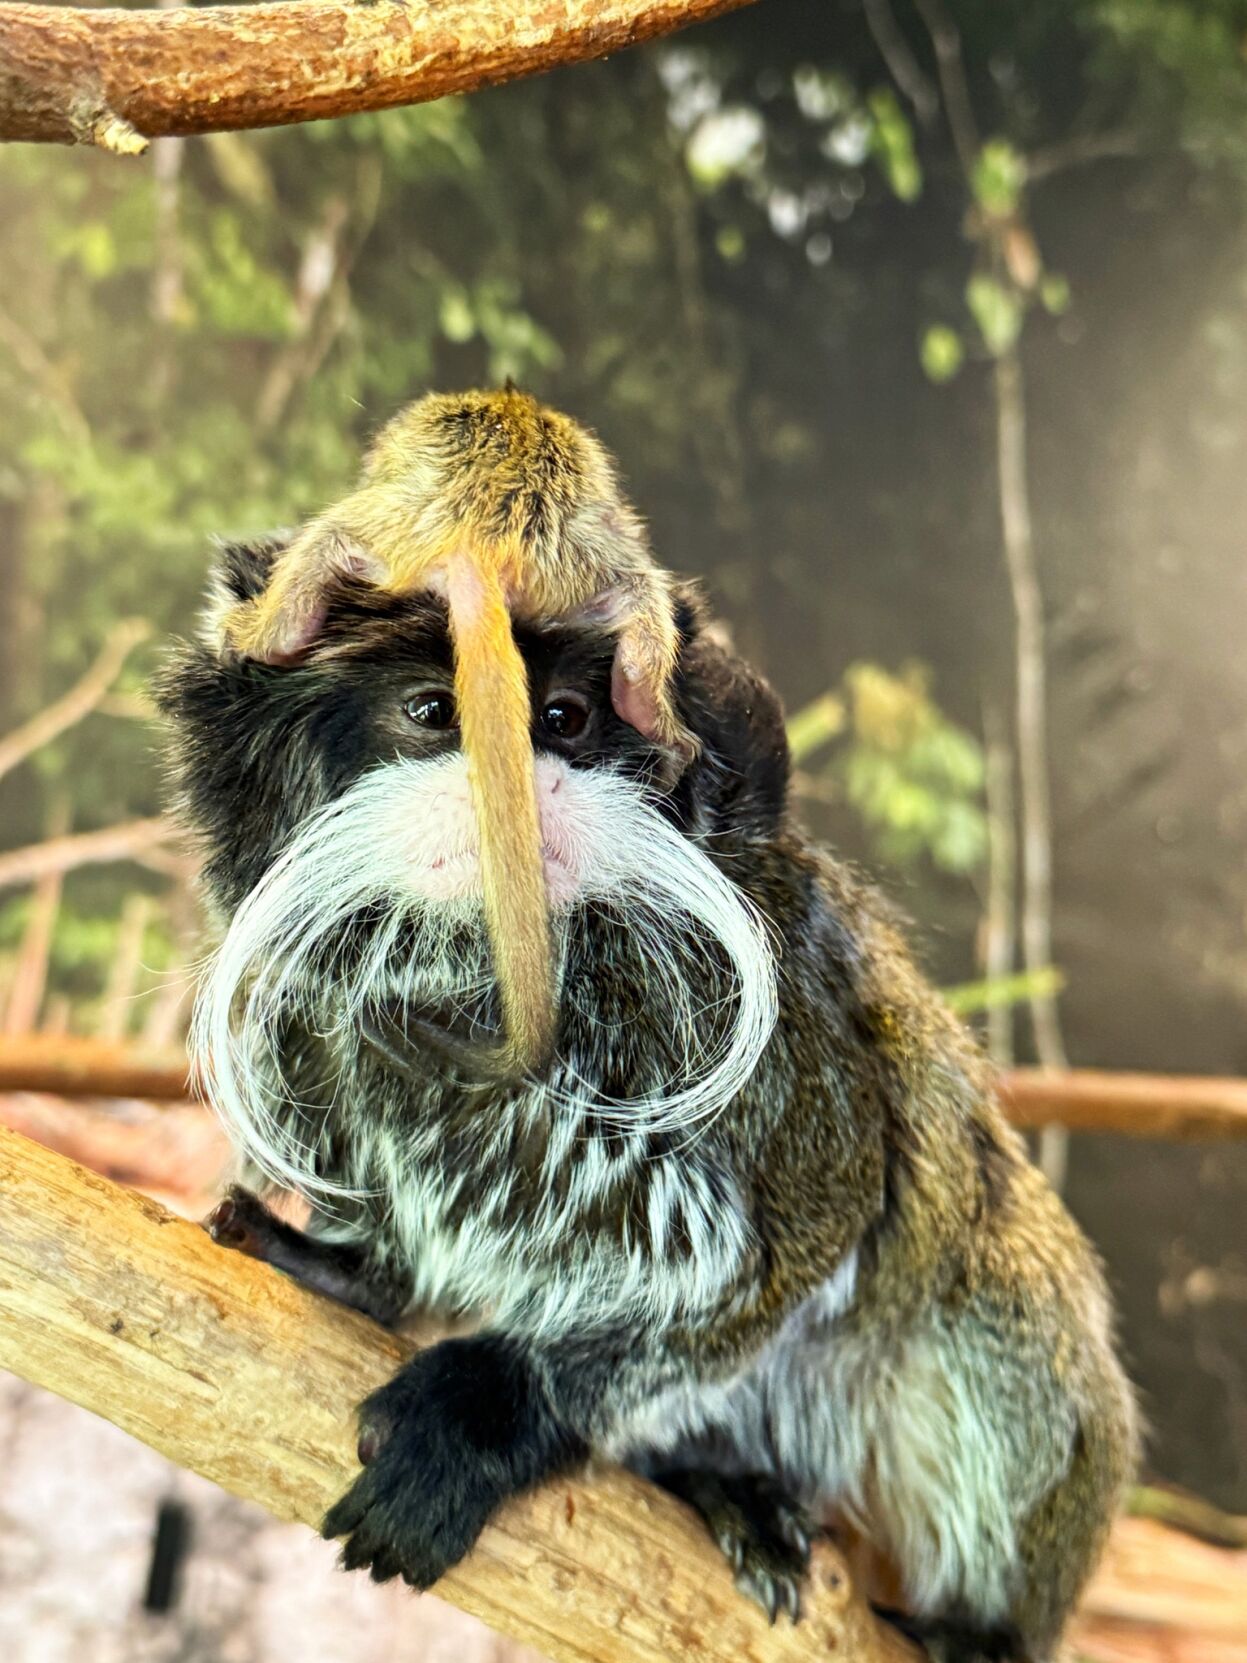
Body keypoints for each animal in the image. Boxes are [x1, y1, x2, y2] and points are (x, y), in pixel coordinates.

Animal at [158, 531, 1137, 1663]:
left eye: (561, 718)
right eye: (432, 710)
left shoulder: (764, 1023)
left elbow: (810, 1227)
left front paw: (491, 1415)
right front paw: (359, 1275)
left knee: (991, 1307)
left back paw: (973, 1621)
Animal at [219, 386, 691, 1083]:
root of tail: (487, 537)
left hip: (388, 530)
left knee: (328, 543)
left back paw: (263, 633)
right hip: (588, 568)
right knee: (638, 595)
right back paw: (653, 714)